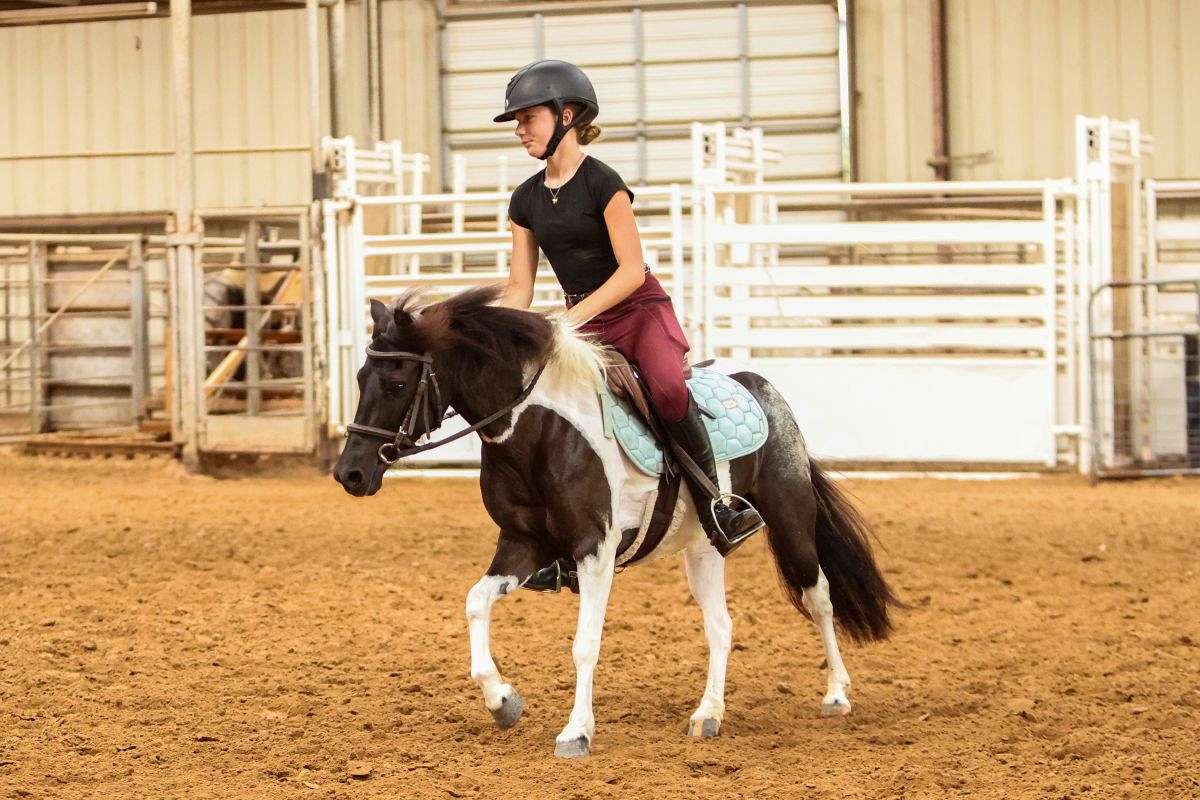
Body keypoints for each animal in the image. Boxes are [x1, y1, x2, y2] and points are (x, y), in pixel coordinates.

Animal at [333, 285, 899, 758]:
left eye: (395, 381)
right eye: (360, 379)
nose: (349, 473)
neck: (536, 432)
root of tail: (759, 385)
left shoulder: (595, 549)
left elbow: (585, 644)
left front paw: (576, 732)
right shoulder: (521, 545)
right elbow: (475, 603)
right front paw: (503, 701)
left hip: (791, 518)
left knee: (818, 595)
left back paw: (835, 696)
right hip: (704, 548)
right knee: (721, 626)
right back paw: (708, 714)